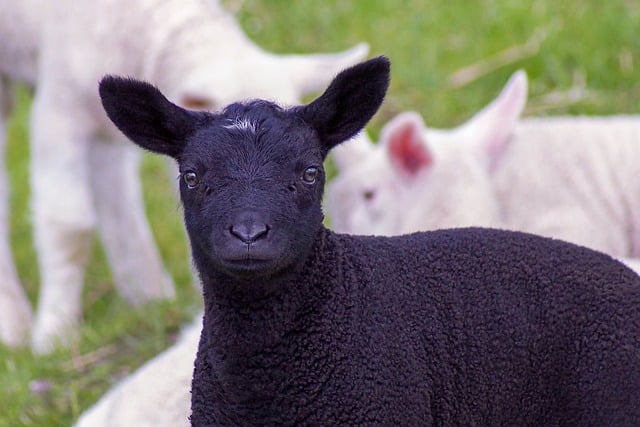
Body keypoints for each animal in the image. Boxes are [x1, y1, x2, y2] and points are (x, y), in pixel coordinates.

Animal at [0, 0, 368, 352]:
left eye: (309, 171)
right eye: (193, 175)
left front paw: (151, 298)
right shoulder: (59, 111)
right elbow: (70, 227)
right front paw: (54, 334)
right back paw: (14, 325)